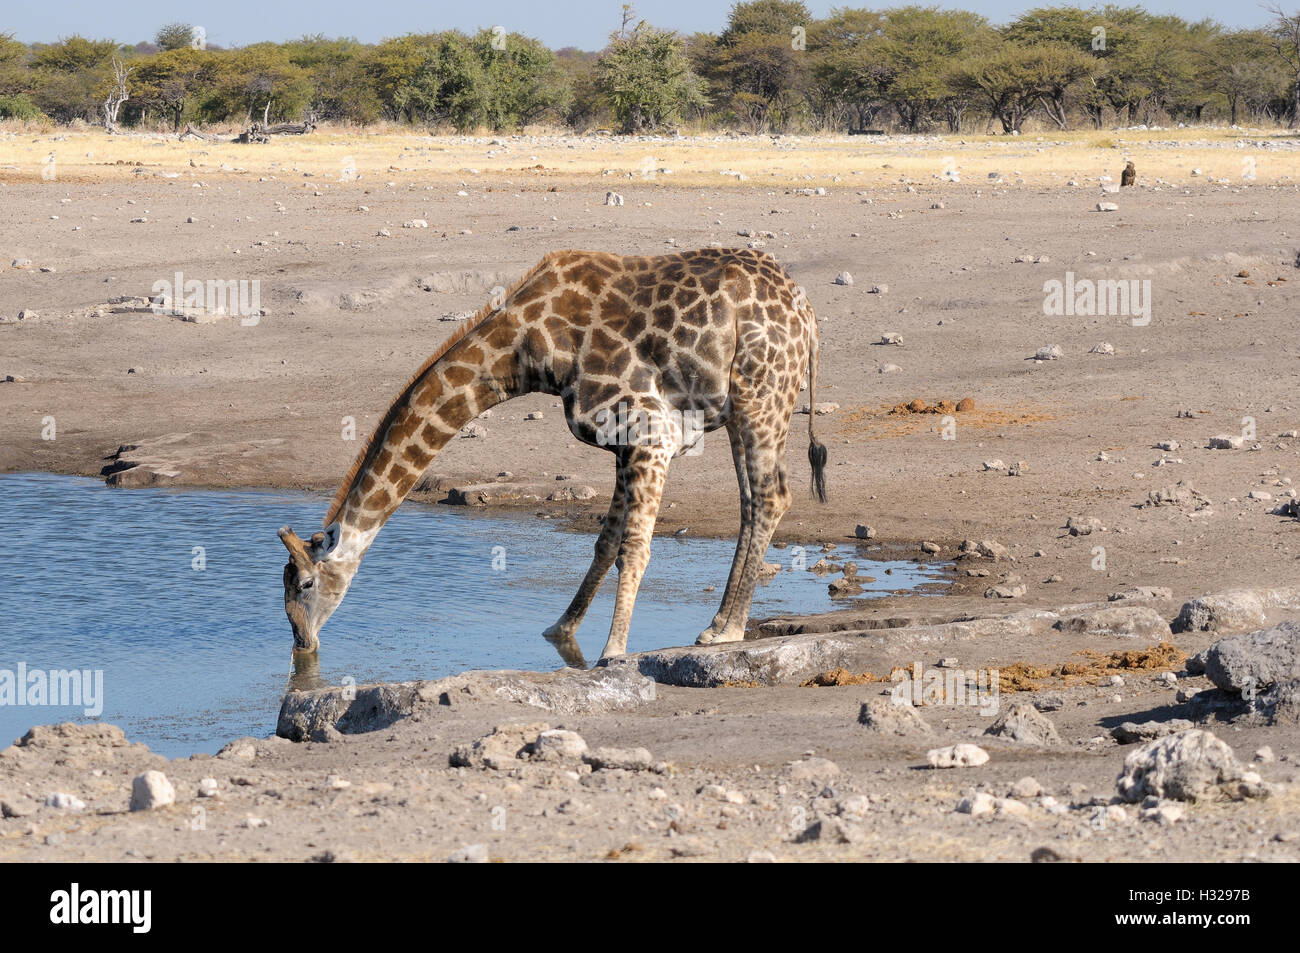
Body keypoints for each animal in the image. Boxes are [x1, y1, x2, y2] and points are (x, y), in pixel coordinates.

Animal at [279, 247, 827, 666]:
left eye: (304, 583)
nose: (302, 644)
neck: (527, 349)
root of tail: (806, 312)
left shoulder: (649, 433)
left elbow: (634, 548)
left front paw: (612, 652)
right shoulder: (623, 444)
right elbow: (605, 542)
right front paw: (561, 630)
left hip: (761, 396)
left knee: (770, 496)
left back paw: (727, 628)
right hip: (744, 406)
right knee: (754, 501)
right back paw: (719, 624)